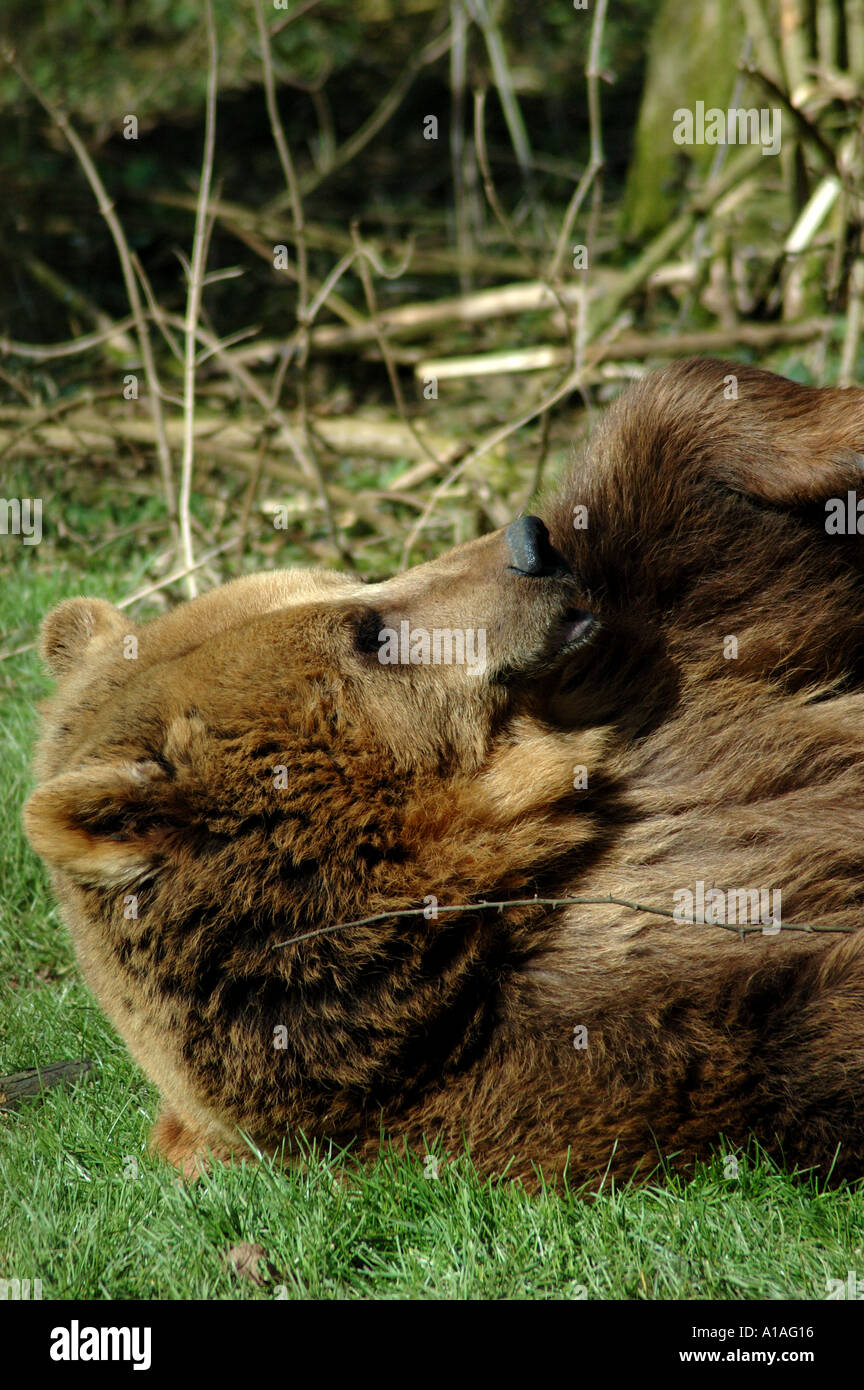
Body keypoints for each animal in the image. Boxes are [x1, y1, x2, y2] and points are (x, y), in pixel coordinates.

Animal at [23, 357, 864, 1186]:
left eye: (348, 580)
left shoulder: (666, 662)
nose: (531, 543)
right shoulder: (590, 1038)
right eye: (369, 635)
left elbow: (698, 522)